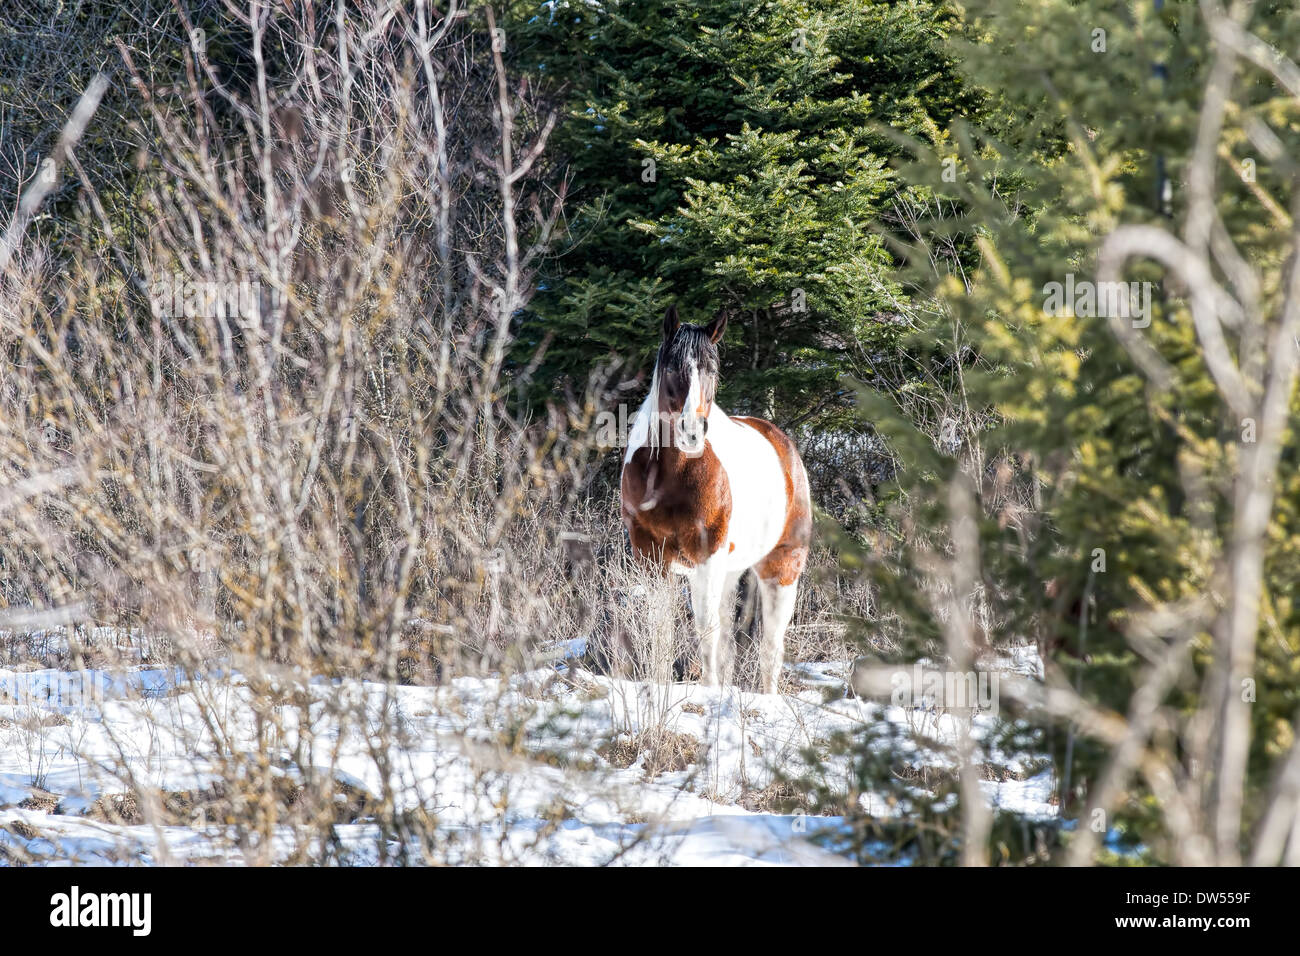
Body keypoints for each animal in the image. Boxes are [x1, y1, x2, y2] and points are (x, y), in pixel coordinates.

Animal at [619, 305, 812, 694]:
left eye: (712, 369)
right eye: (671, 367)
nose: (691, 431)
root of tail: (783, 444)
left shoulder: (705, 556)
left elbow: (705, 631)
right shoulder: (651, 558)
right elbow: (662, 632)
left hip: (781, 571)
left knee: (770, 649)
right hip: (729, 572)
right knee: (729, 642)